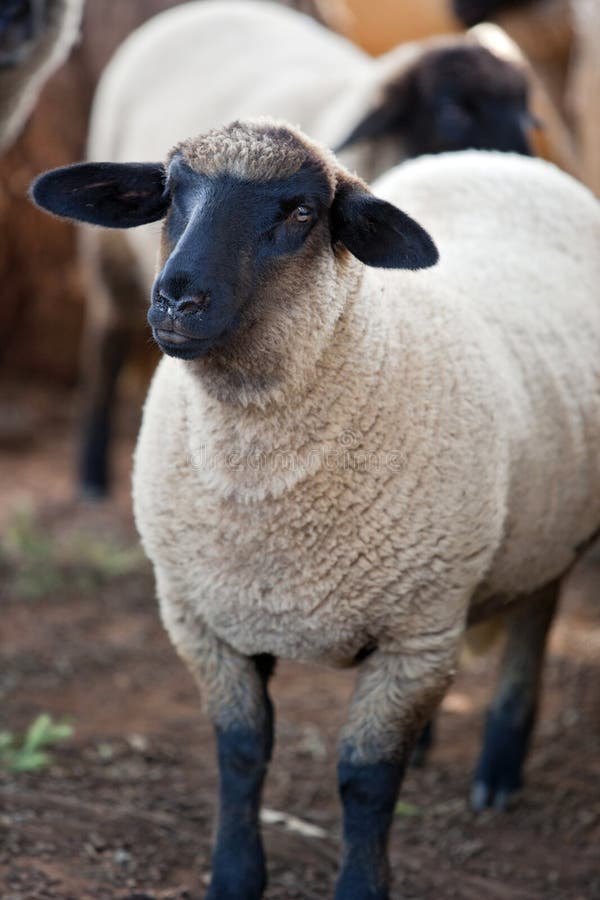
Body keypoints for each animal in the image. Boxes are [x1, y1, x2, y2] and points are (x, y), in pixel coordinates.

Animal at [31, 118, 600, 898]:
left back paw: (498, 772)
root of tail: (497, 162)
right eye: (172, 192)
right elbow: (241, 753)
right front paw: (234, 878)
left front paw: (361, 885)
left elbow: (365, 780)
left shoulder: (414, 636)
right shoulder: (205, 621)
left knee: (535, 620)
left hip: (548, 532)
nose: (175, 300)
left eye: (301, 212)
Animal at [79, 0, 541, 498]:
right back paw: (91, 473)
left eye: (525, 113)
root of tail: (202, 8)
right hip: (110, 256)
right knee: (107, 342)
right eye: (451, 110)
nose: (518, 172)